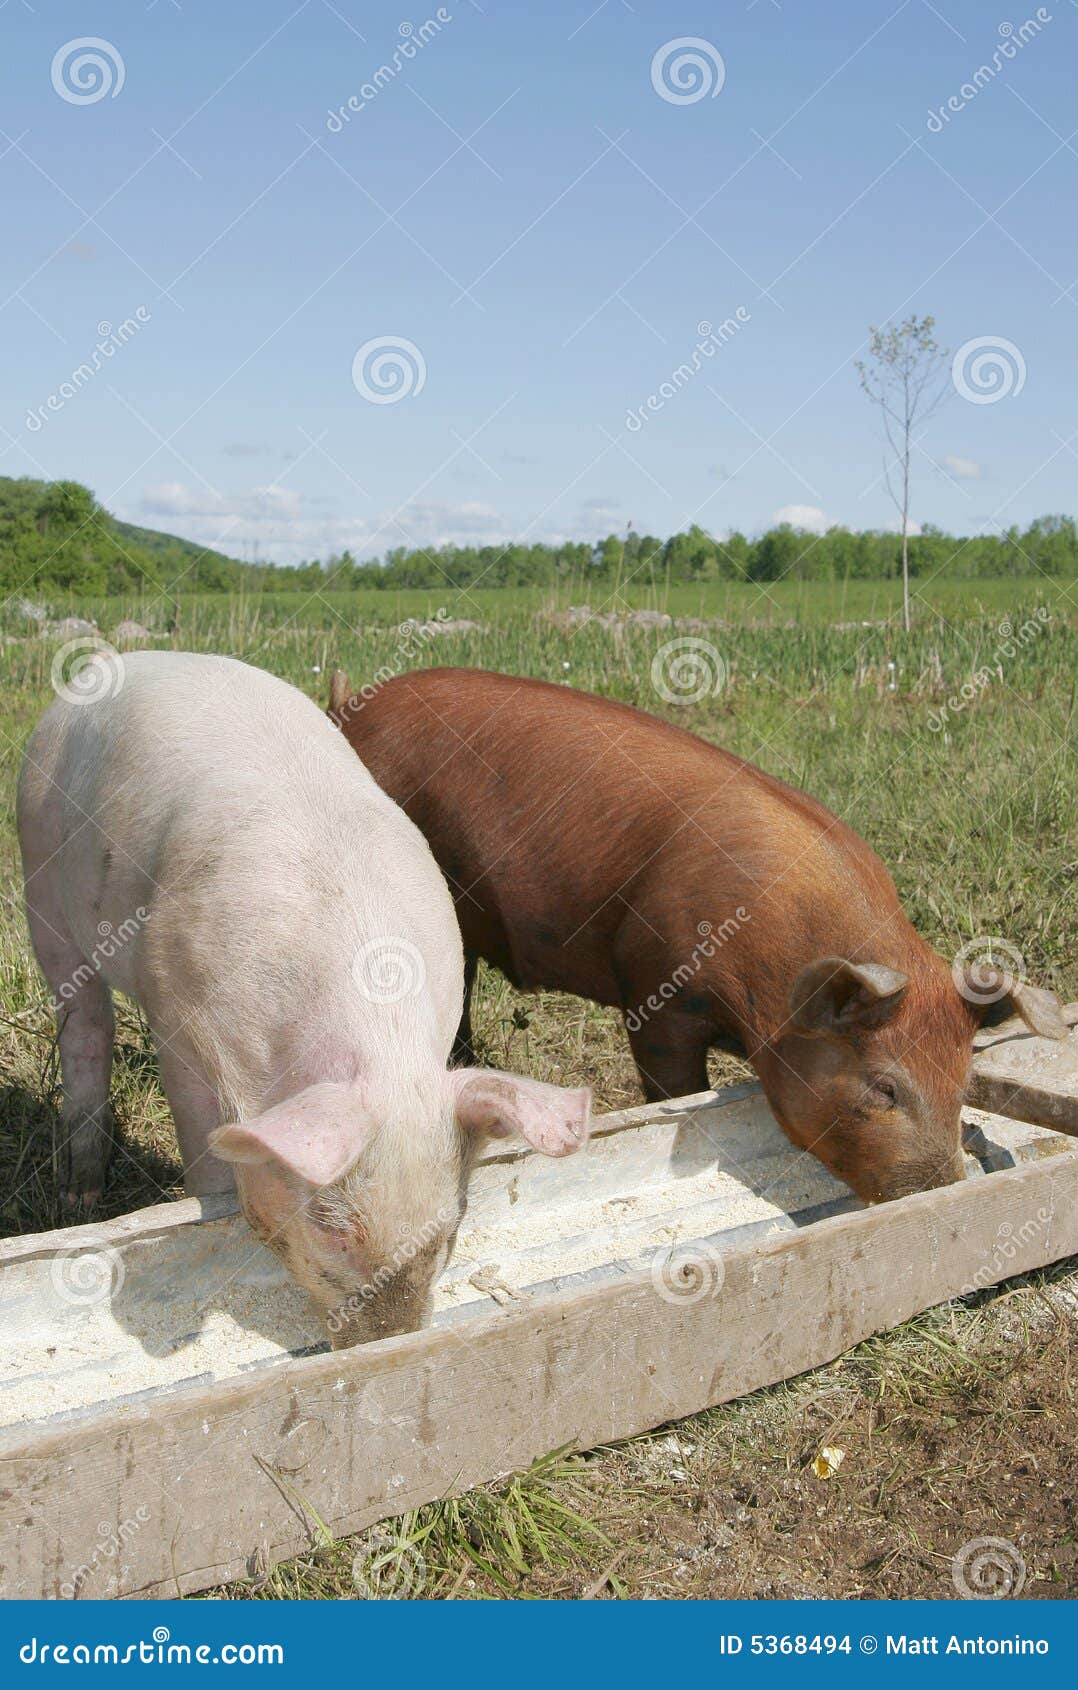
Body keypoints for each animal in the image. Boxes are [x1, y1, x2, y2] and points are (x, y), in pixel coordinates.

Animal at [18, 652, 590, 1346]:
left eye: (449, 1228)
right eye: (330, 1227)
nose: (390, 1341)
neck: (379, 1040)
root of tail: (110, 664)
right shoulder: (176, 1012)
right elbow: (207, 1146)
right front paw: (211, 1203)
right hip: (38, 865)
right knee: (83, 1022)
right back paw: (79, 1195)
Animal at [328, 665, 1066, 1205]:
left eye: (964, 1082)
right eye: (886, 1087)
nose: (939, 1188)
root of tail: (350, 706)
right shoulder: (656, 989)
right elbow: (673, 1089)